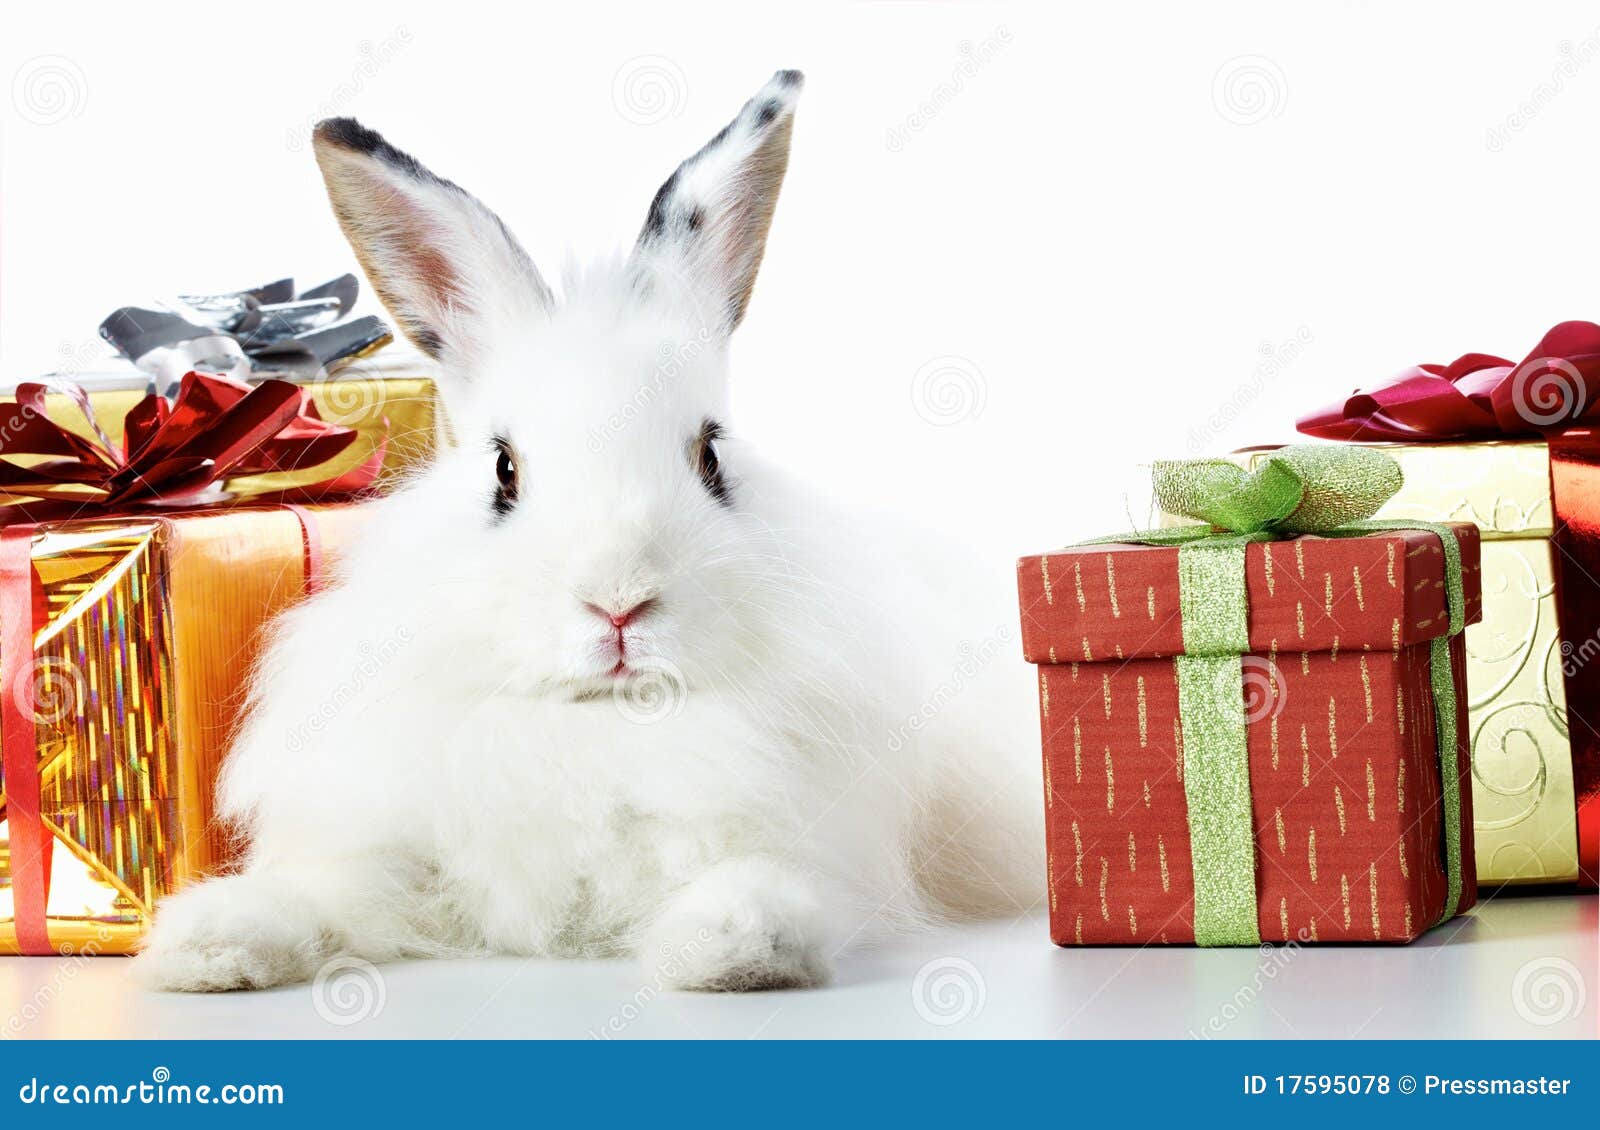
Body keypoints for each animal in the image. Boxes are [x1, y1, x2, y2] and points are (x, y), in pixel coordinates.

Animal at [138, 70, 1043, 994]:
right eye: (504, 471)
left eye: (710, 457)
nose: (618, 604)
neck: (596, 722)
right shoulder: (391, 848)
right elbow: (329, 892)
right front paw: (209, 944)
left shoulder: (813, 843)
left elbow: (767, 879)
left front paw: (733, 944)